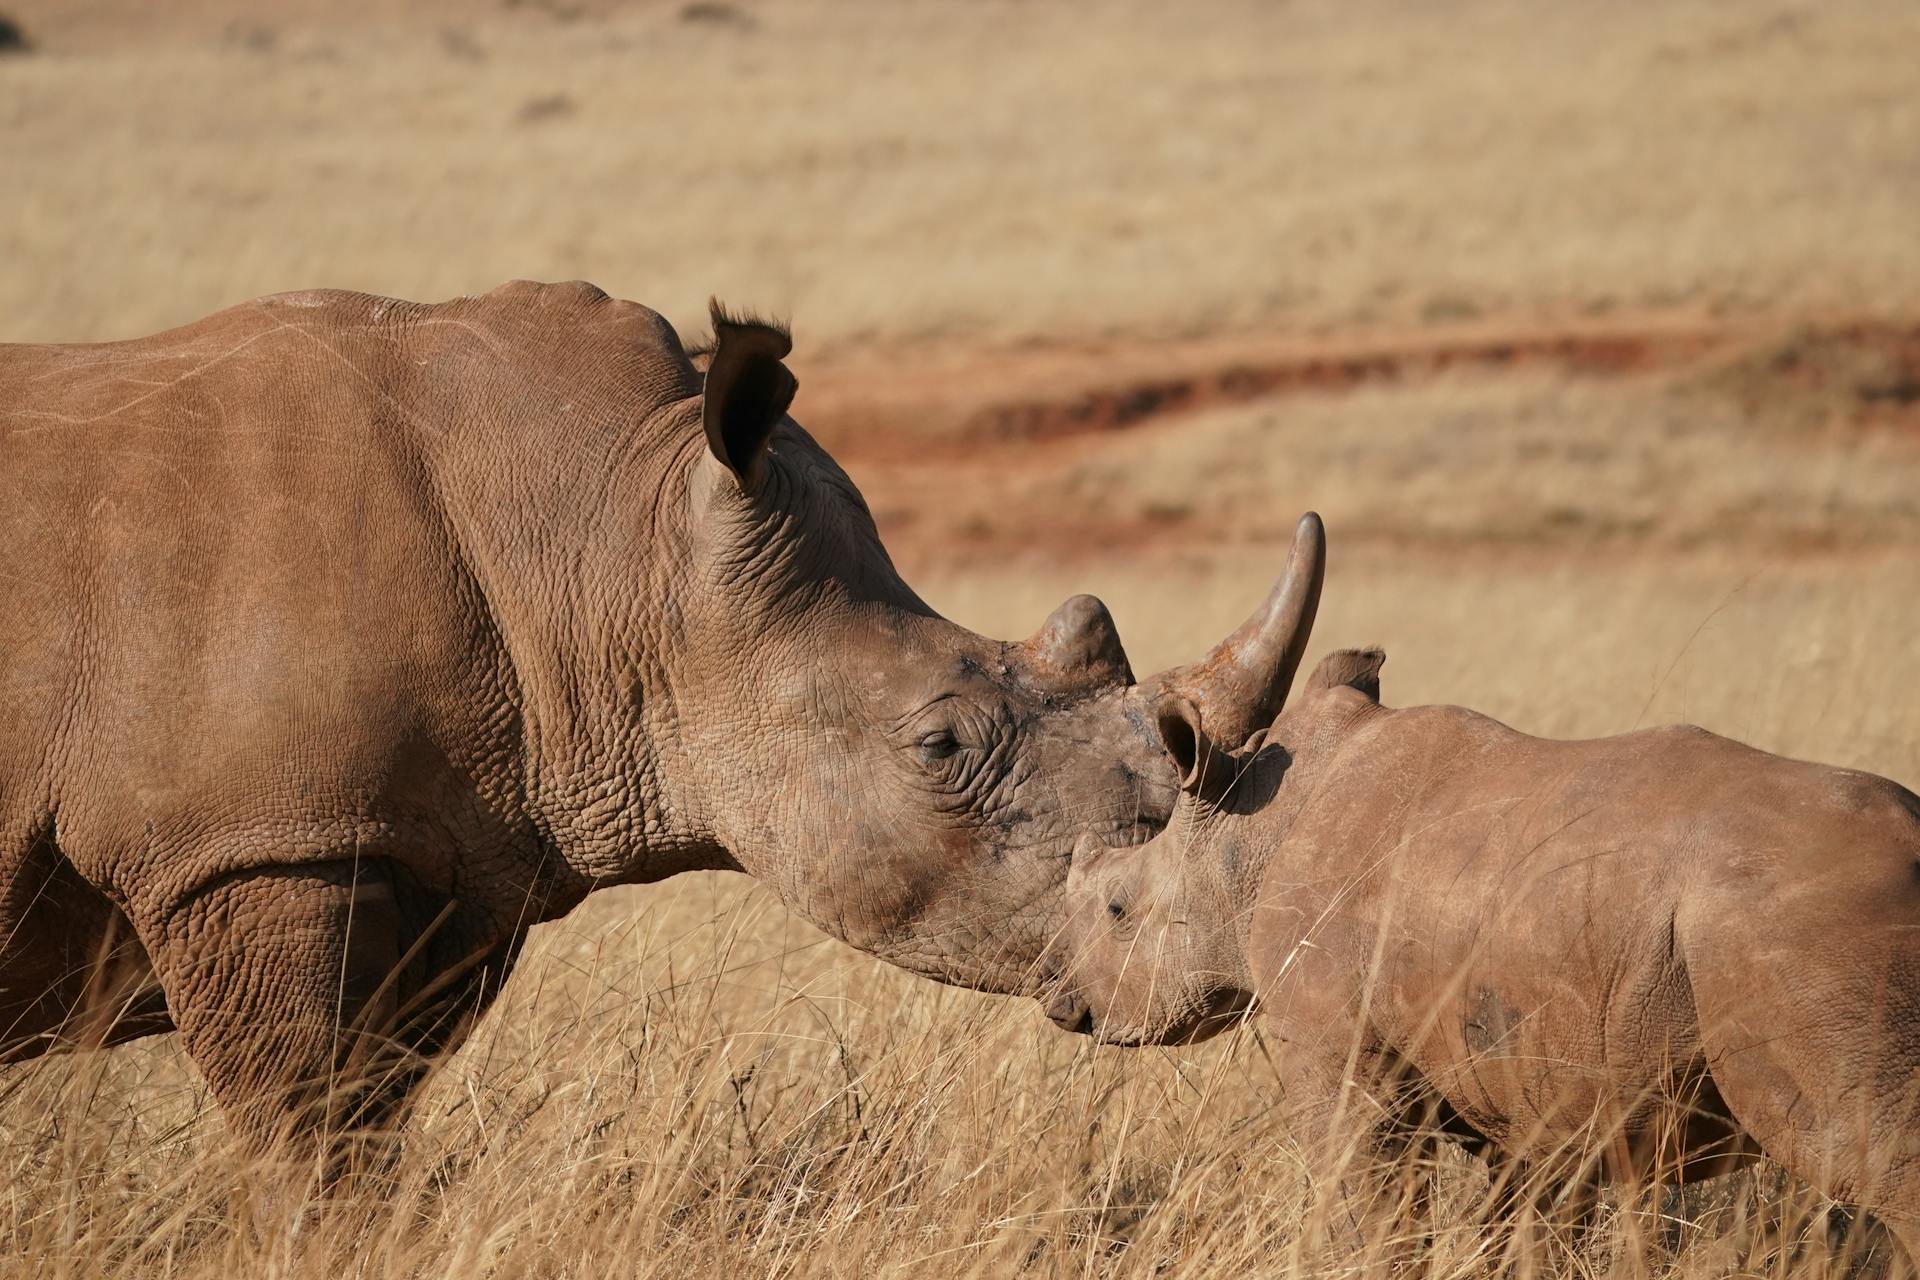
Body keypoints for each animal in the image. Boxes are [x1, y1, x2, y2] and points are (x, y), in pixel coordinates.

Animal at [0, 281, 1307, 1150]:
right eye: (941, 744)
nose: (1208, 920)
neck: (608, 536)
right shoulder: (253, 842)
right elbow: (311, 1135)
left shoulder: (437, 849)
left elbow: (371, 1120)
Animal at [1050, 513, 1920, 1264]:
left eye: (1119, 910)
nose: (1067, 1009)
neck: (1247, 836)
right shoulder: (1530, 1085)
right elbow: (1520, 1227)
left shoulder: (1337, 1050)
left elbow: (1371, 1211)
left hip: (1802, 933)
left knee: (1882, 1164)